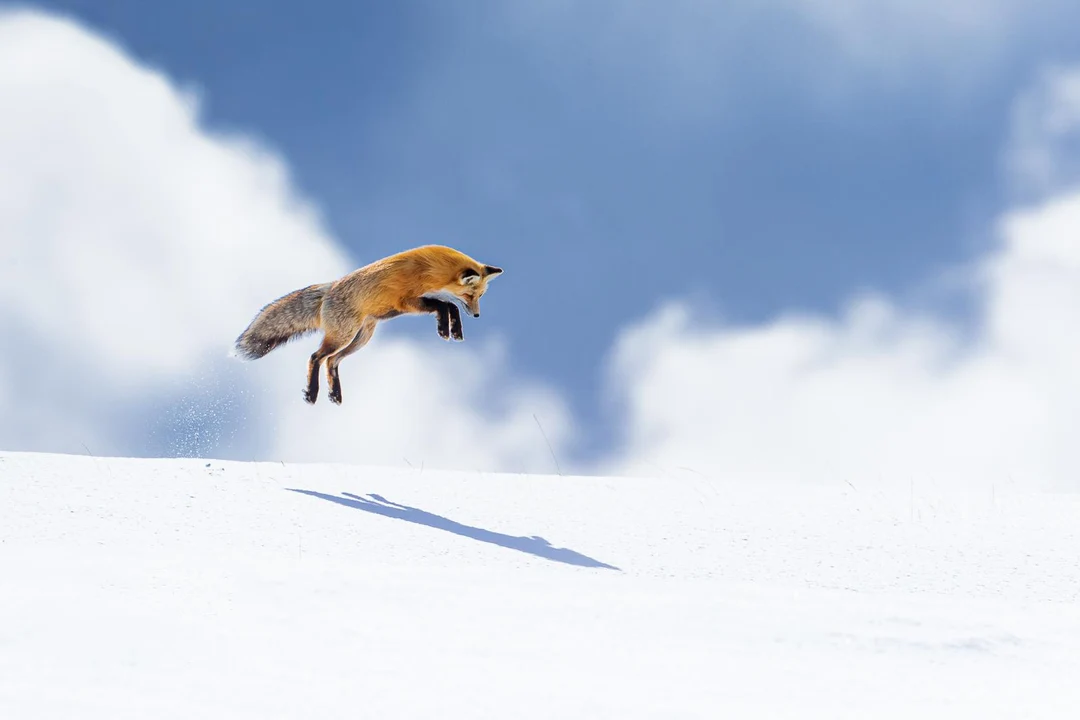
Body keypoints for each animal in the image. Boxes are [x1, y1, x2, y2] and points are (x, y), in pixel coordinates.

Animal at [233, 244, 503, 405]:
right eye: (470, 295)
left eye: (481, 296)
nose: (477, 316)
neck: (428, 269)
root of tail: (329, 288)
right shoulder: (406, 302)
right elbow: (445, 305)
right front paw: (445, 329)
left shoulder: (420, 300)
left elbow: (449, 306)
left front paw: (452, 330)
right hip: (344, 335)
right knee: (316, 357)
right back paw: (312, 393)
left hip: (361, 338)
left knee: (332, 361)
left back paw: (335, 394)